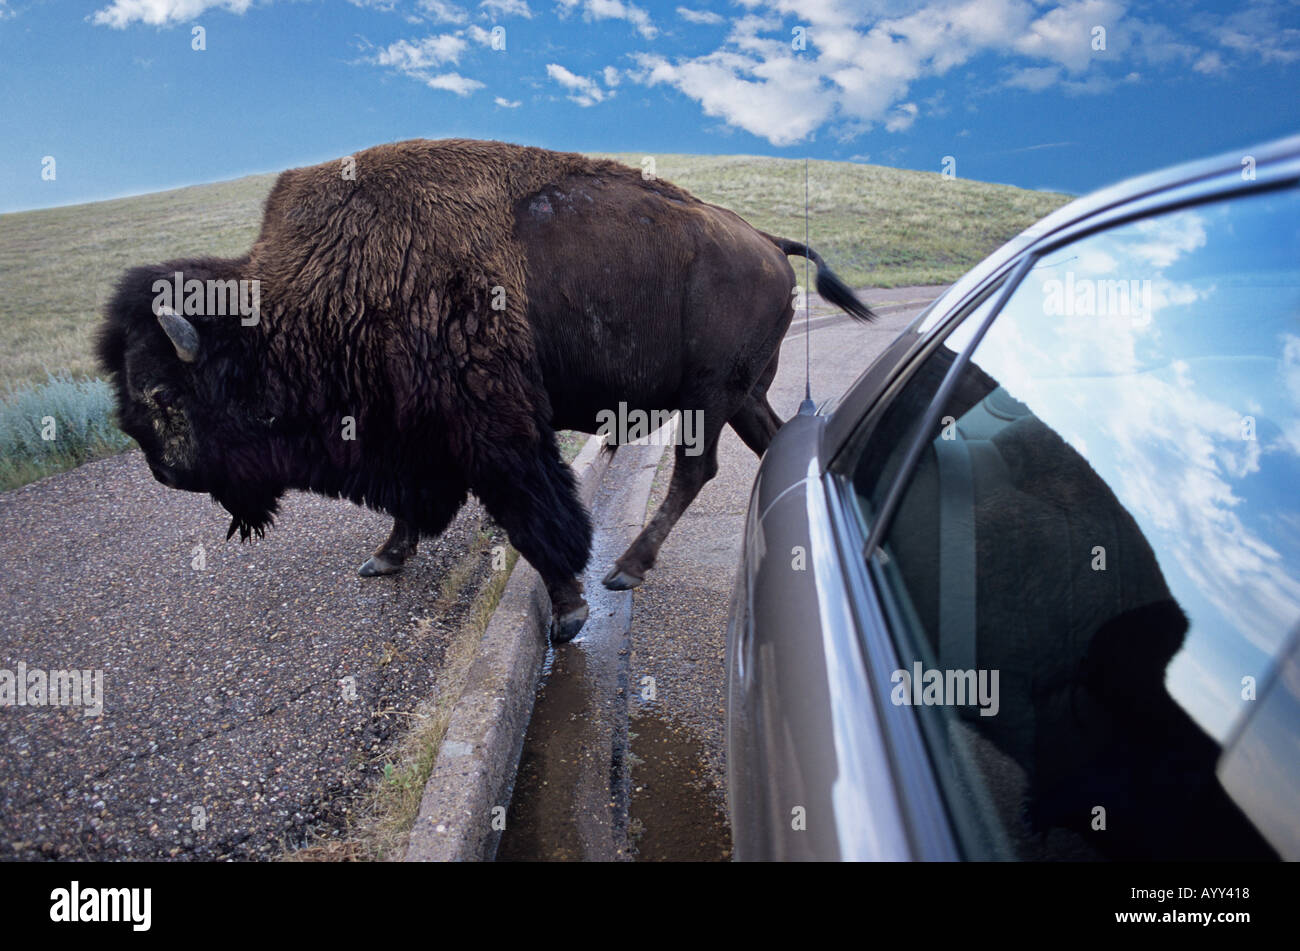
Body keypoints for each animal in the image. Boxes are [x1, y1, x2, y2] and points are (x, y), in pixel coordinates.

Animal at [98, 138, 875, 643]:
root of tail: (768, 241)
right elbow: (416, 502)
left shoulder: (490, 425)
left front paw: (568, 611)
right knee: (769, 443)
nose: (165, 472)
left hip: (707, 400)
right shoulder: (417, 429)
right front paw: (385, 556)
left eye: (165, 396)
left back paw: (626, 570)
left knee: (696, 469)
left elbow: (534, 510)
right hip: (741, 396)